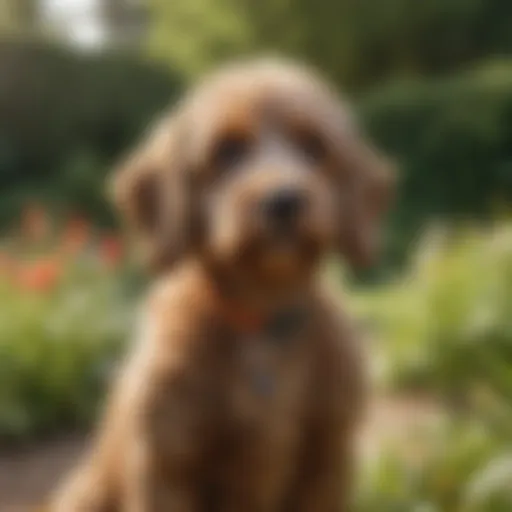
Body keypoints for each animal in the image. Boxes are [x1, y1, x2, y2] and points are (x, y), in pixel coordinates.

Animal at [51, 59, 392, 512]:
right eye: (227, 150)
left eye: (315, 147)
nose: (284, 200)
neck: (261, 313)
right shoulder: (168, 467)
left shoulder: (327, 460)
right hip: (84, 493)